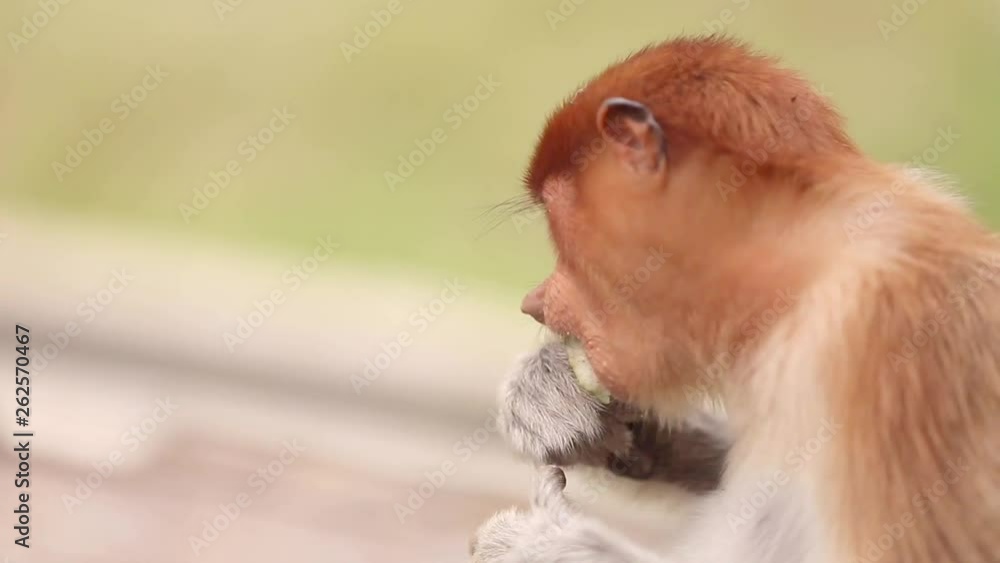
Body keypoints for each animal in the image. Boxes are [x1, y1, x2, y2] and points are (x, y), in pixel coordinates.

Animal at [471, 36, 1000, 563]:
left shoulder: (881, 328)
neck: (808, 263)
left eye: (557, 223)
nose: (535, 302)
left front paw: (530, 543)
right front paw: (554, 399)